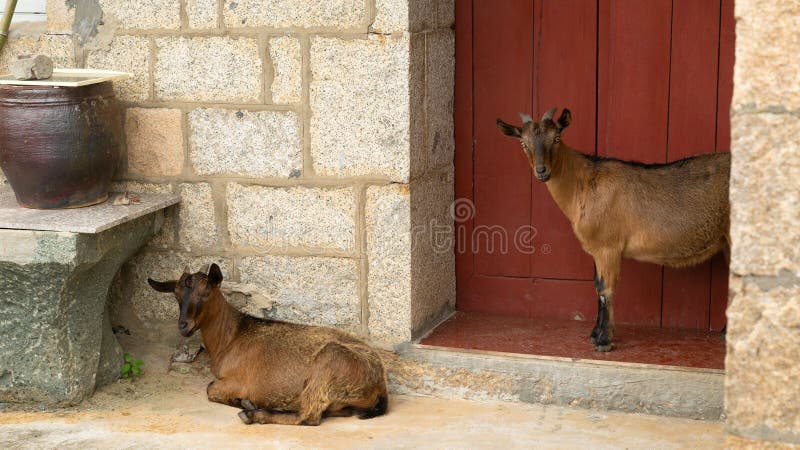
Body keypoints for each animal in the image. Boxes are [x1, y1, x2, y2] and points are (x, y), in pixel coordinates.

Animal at [148, 263, 388, 425]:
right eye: (176, 295)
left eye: (206, 292)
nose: (183, 325)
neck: (231, 336)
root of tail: (380, 385)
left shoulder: (239, 381)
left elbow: (210, 389)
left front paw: (244, 402)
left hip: (330, 362)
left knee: (309, 417)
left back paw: (254, 413)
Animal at [497, 108, 730, 351]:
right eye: (523, 142)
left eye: (557, 138)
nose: (542, 171)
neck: (583, 185)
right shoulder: (597, 250)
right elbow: (596, 286)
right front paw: (594, 334)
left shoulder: (608, 247)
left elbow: (605, 290)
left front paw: (604, 341)